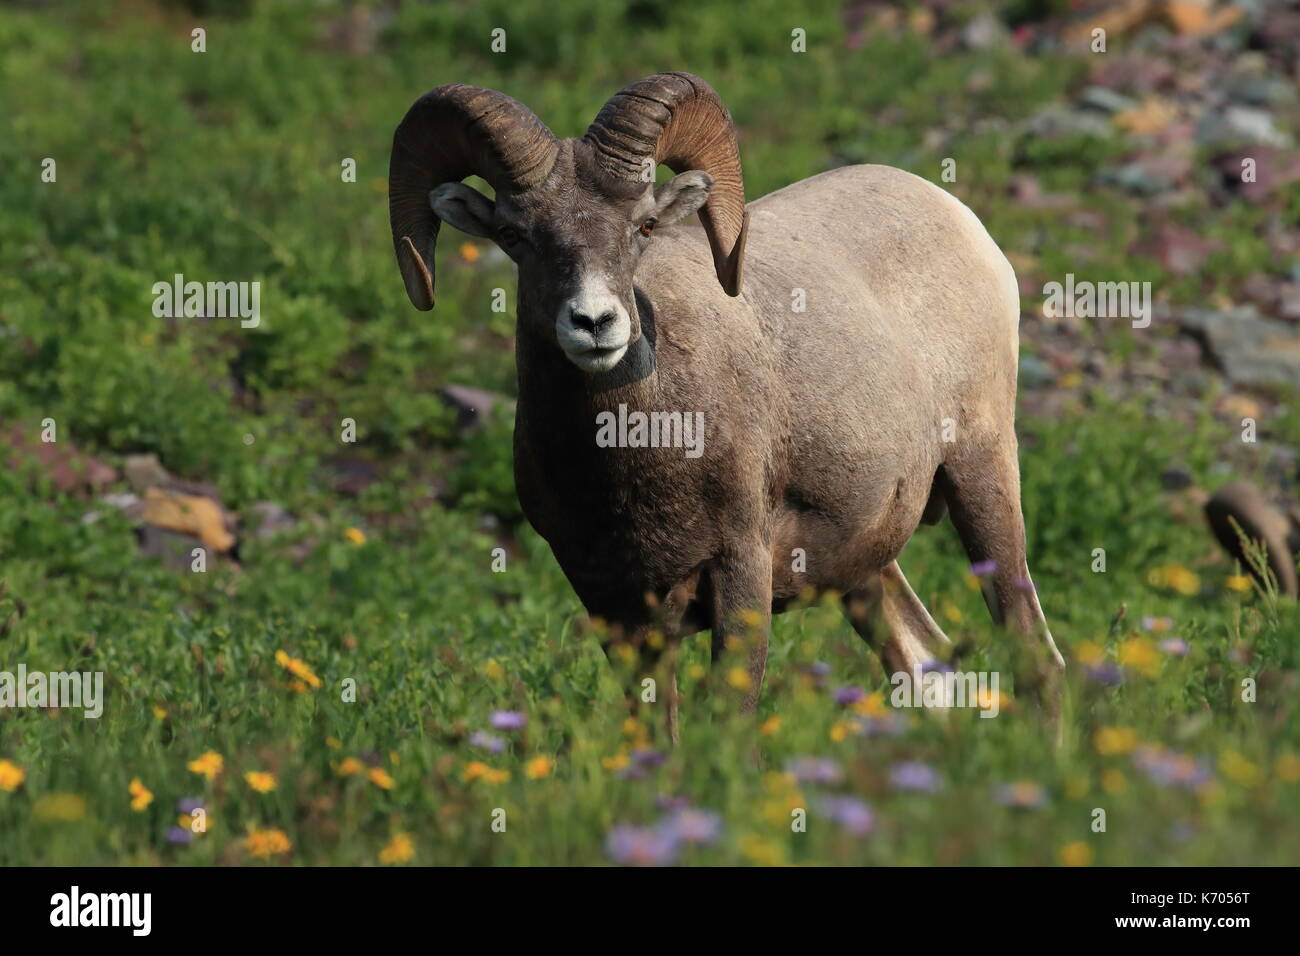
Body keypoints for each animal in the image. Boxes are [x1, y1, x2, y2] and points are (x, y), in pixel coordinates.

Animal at [388, 72, 1065, 739]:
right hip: (864, 568)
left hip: (981, 477)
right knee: (925, 663)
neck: (631, 464)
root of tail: (956, 215)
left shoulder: (740, 573)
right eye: (514, 235)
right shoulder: (615, 608)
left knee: (1036, 654)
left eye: (643, 226)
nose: (595, 324)